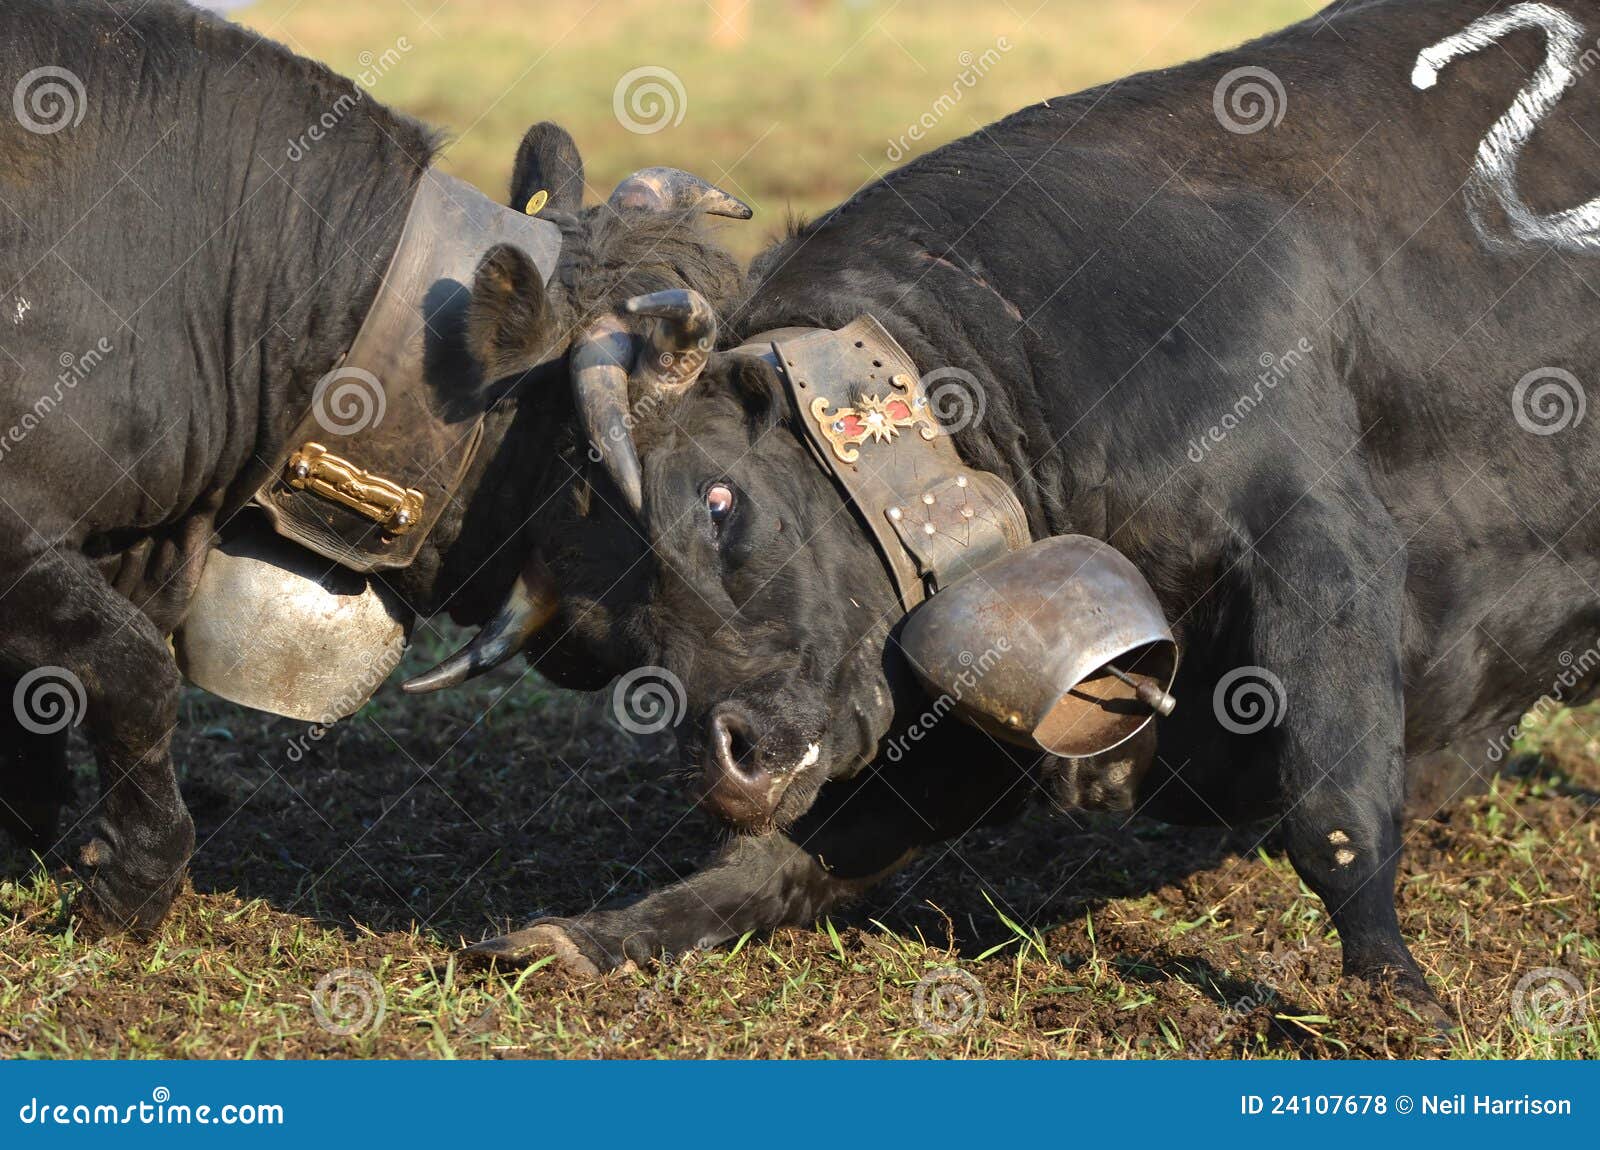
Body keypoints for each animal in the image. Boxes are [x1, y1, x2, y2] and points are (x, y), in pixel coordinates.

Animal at [464, 0, 1600, 1015]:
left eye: (715, 501)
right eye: (604, 637)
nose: (725, 764)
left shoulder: (1320, 534)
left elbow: (1336, 810)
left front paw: (1394, 998)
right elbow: (782, 860)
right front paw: (598, 933)